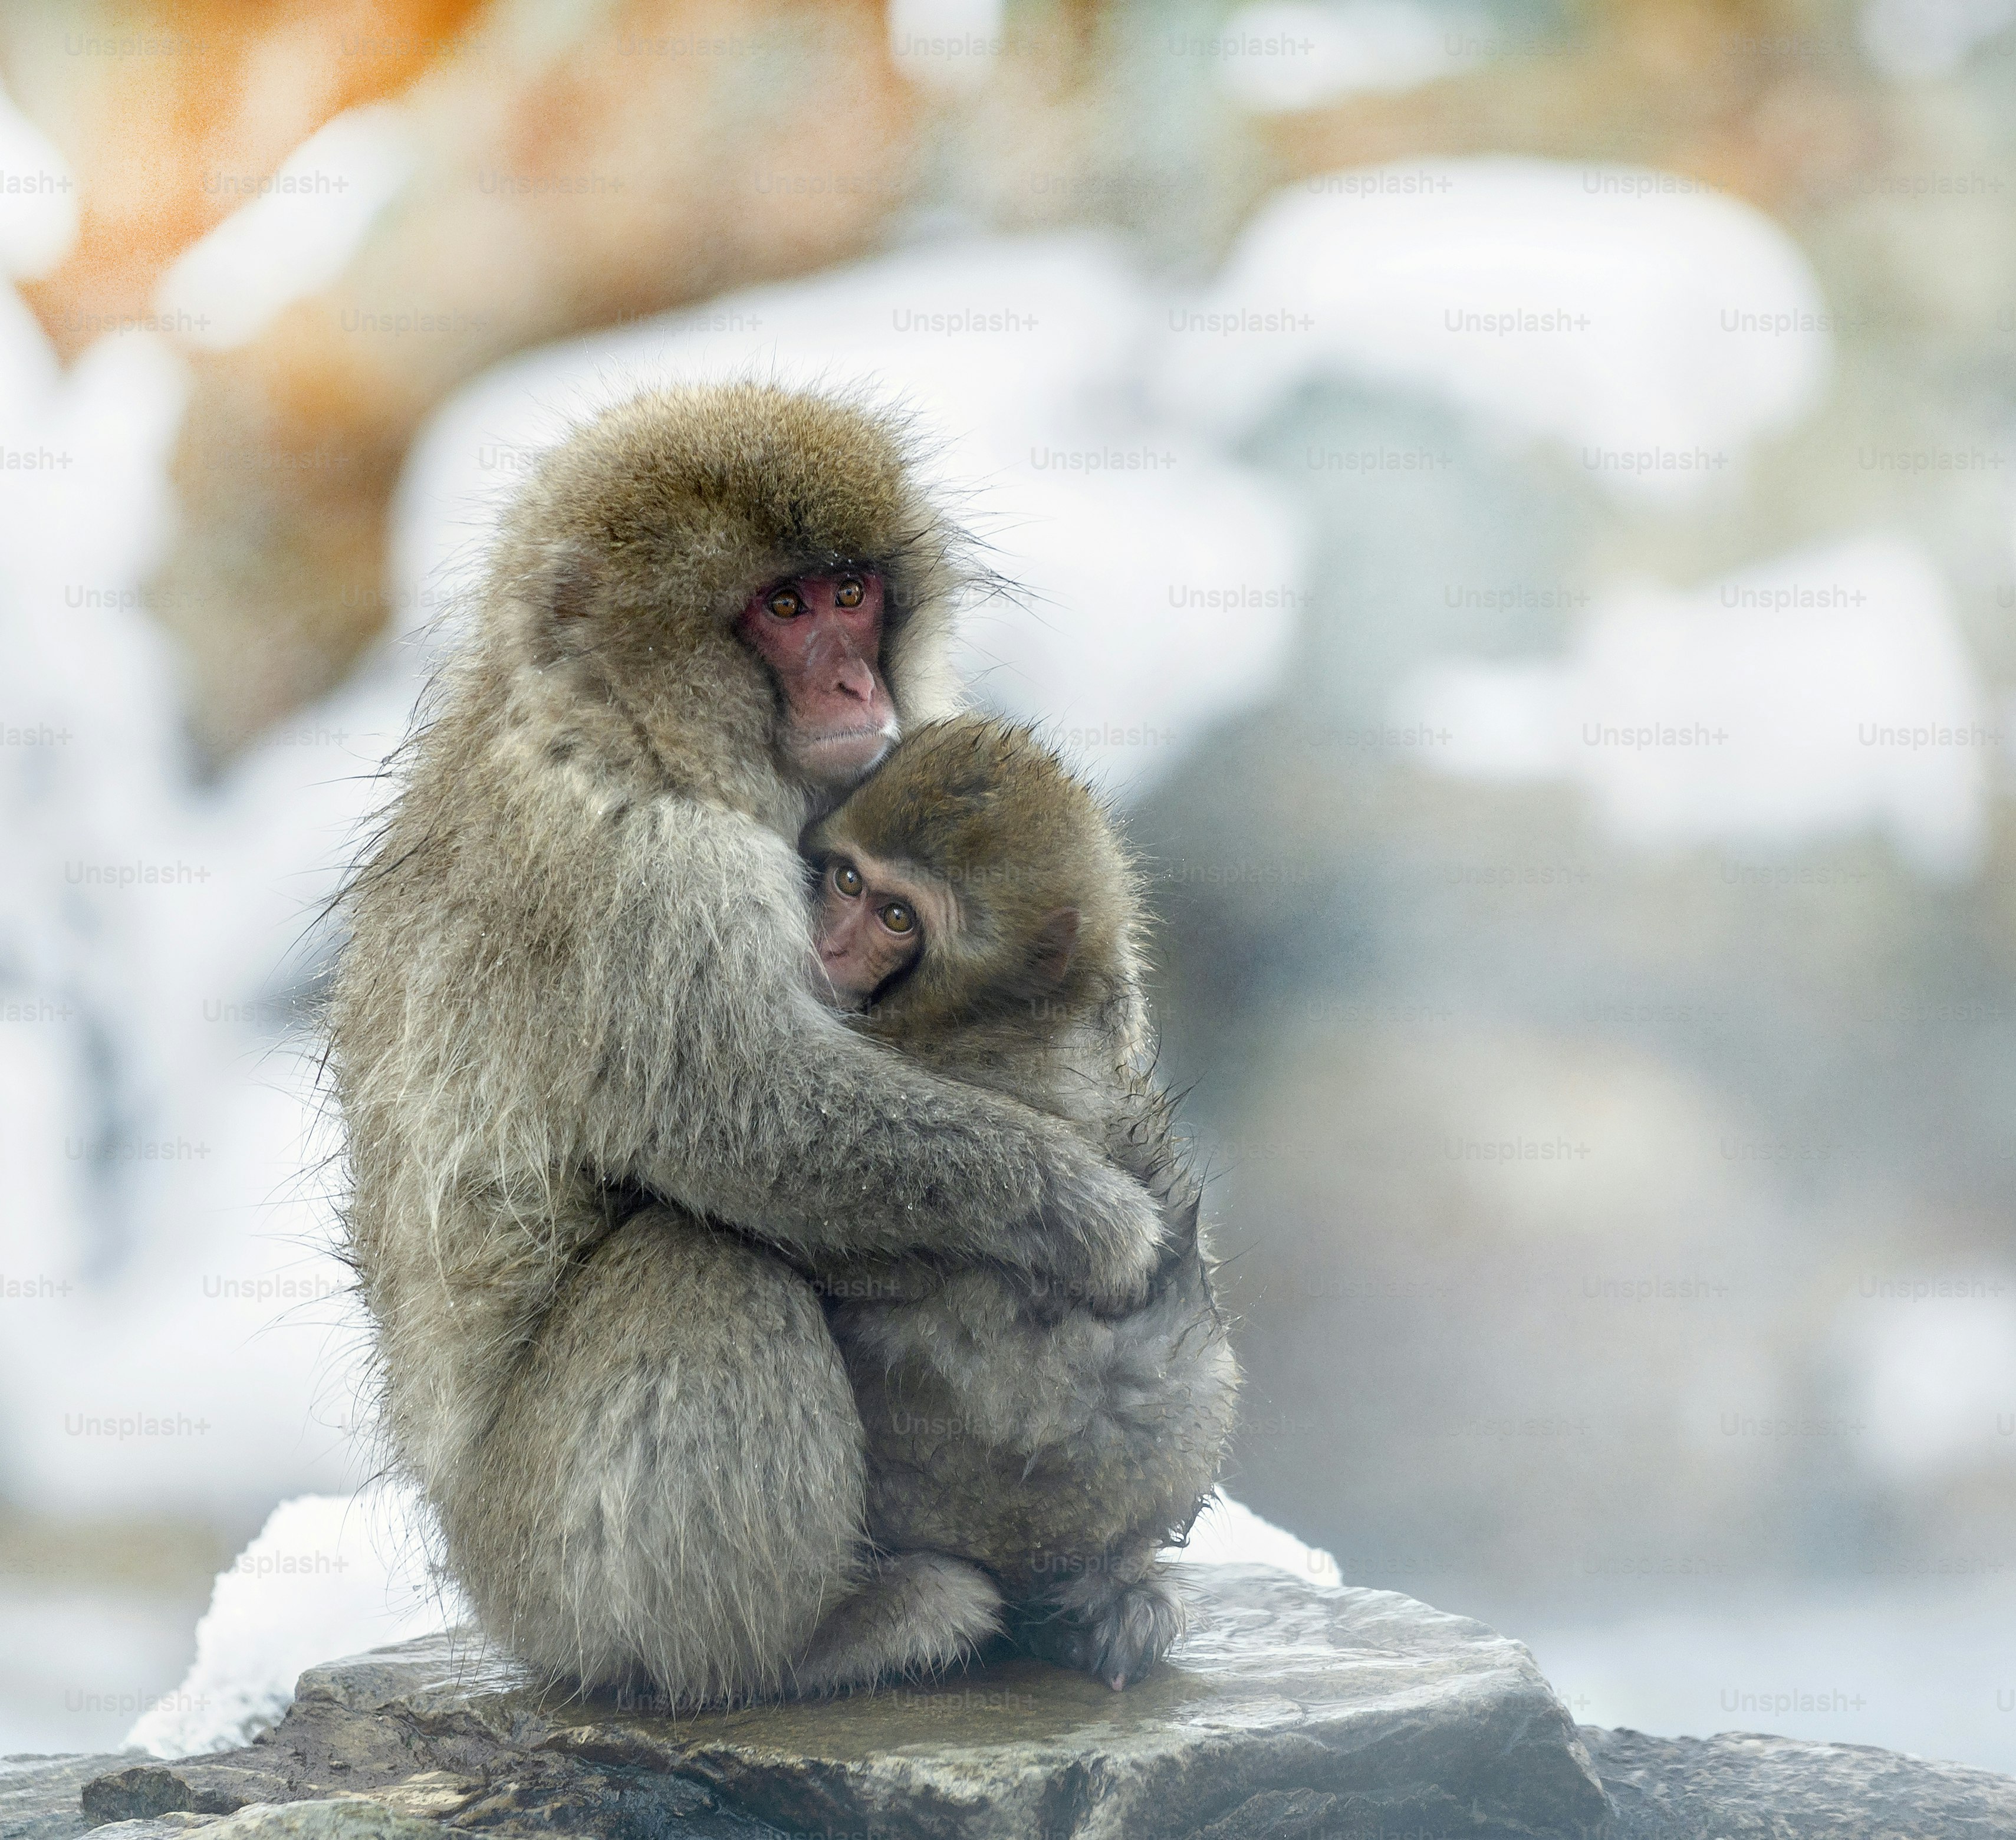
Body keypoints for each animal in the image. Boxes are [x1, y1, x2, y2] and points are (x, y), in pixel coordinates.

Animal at [328, 383, 1171, 1706]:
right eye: (780, 611)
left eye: (847, 593)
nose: (851, 691)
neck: (631, 732)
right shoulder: (641, 869)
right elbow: (748, 1115)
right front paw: (1086, 1214)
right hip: (541, 1575)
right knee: (701, 1262)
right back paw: (809, 1643)